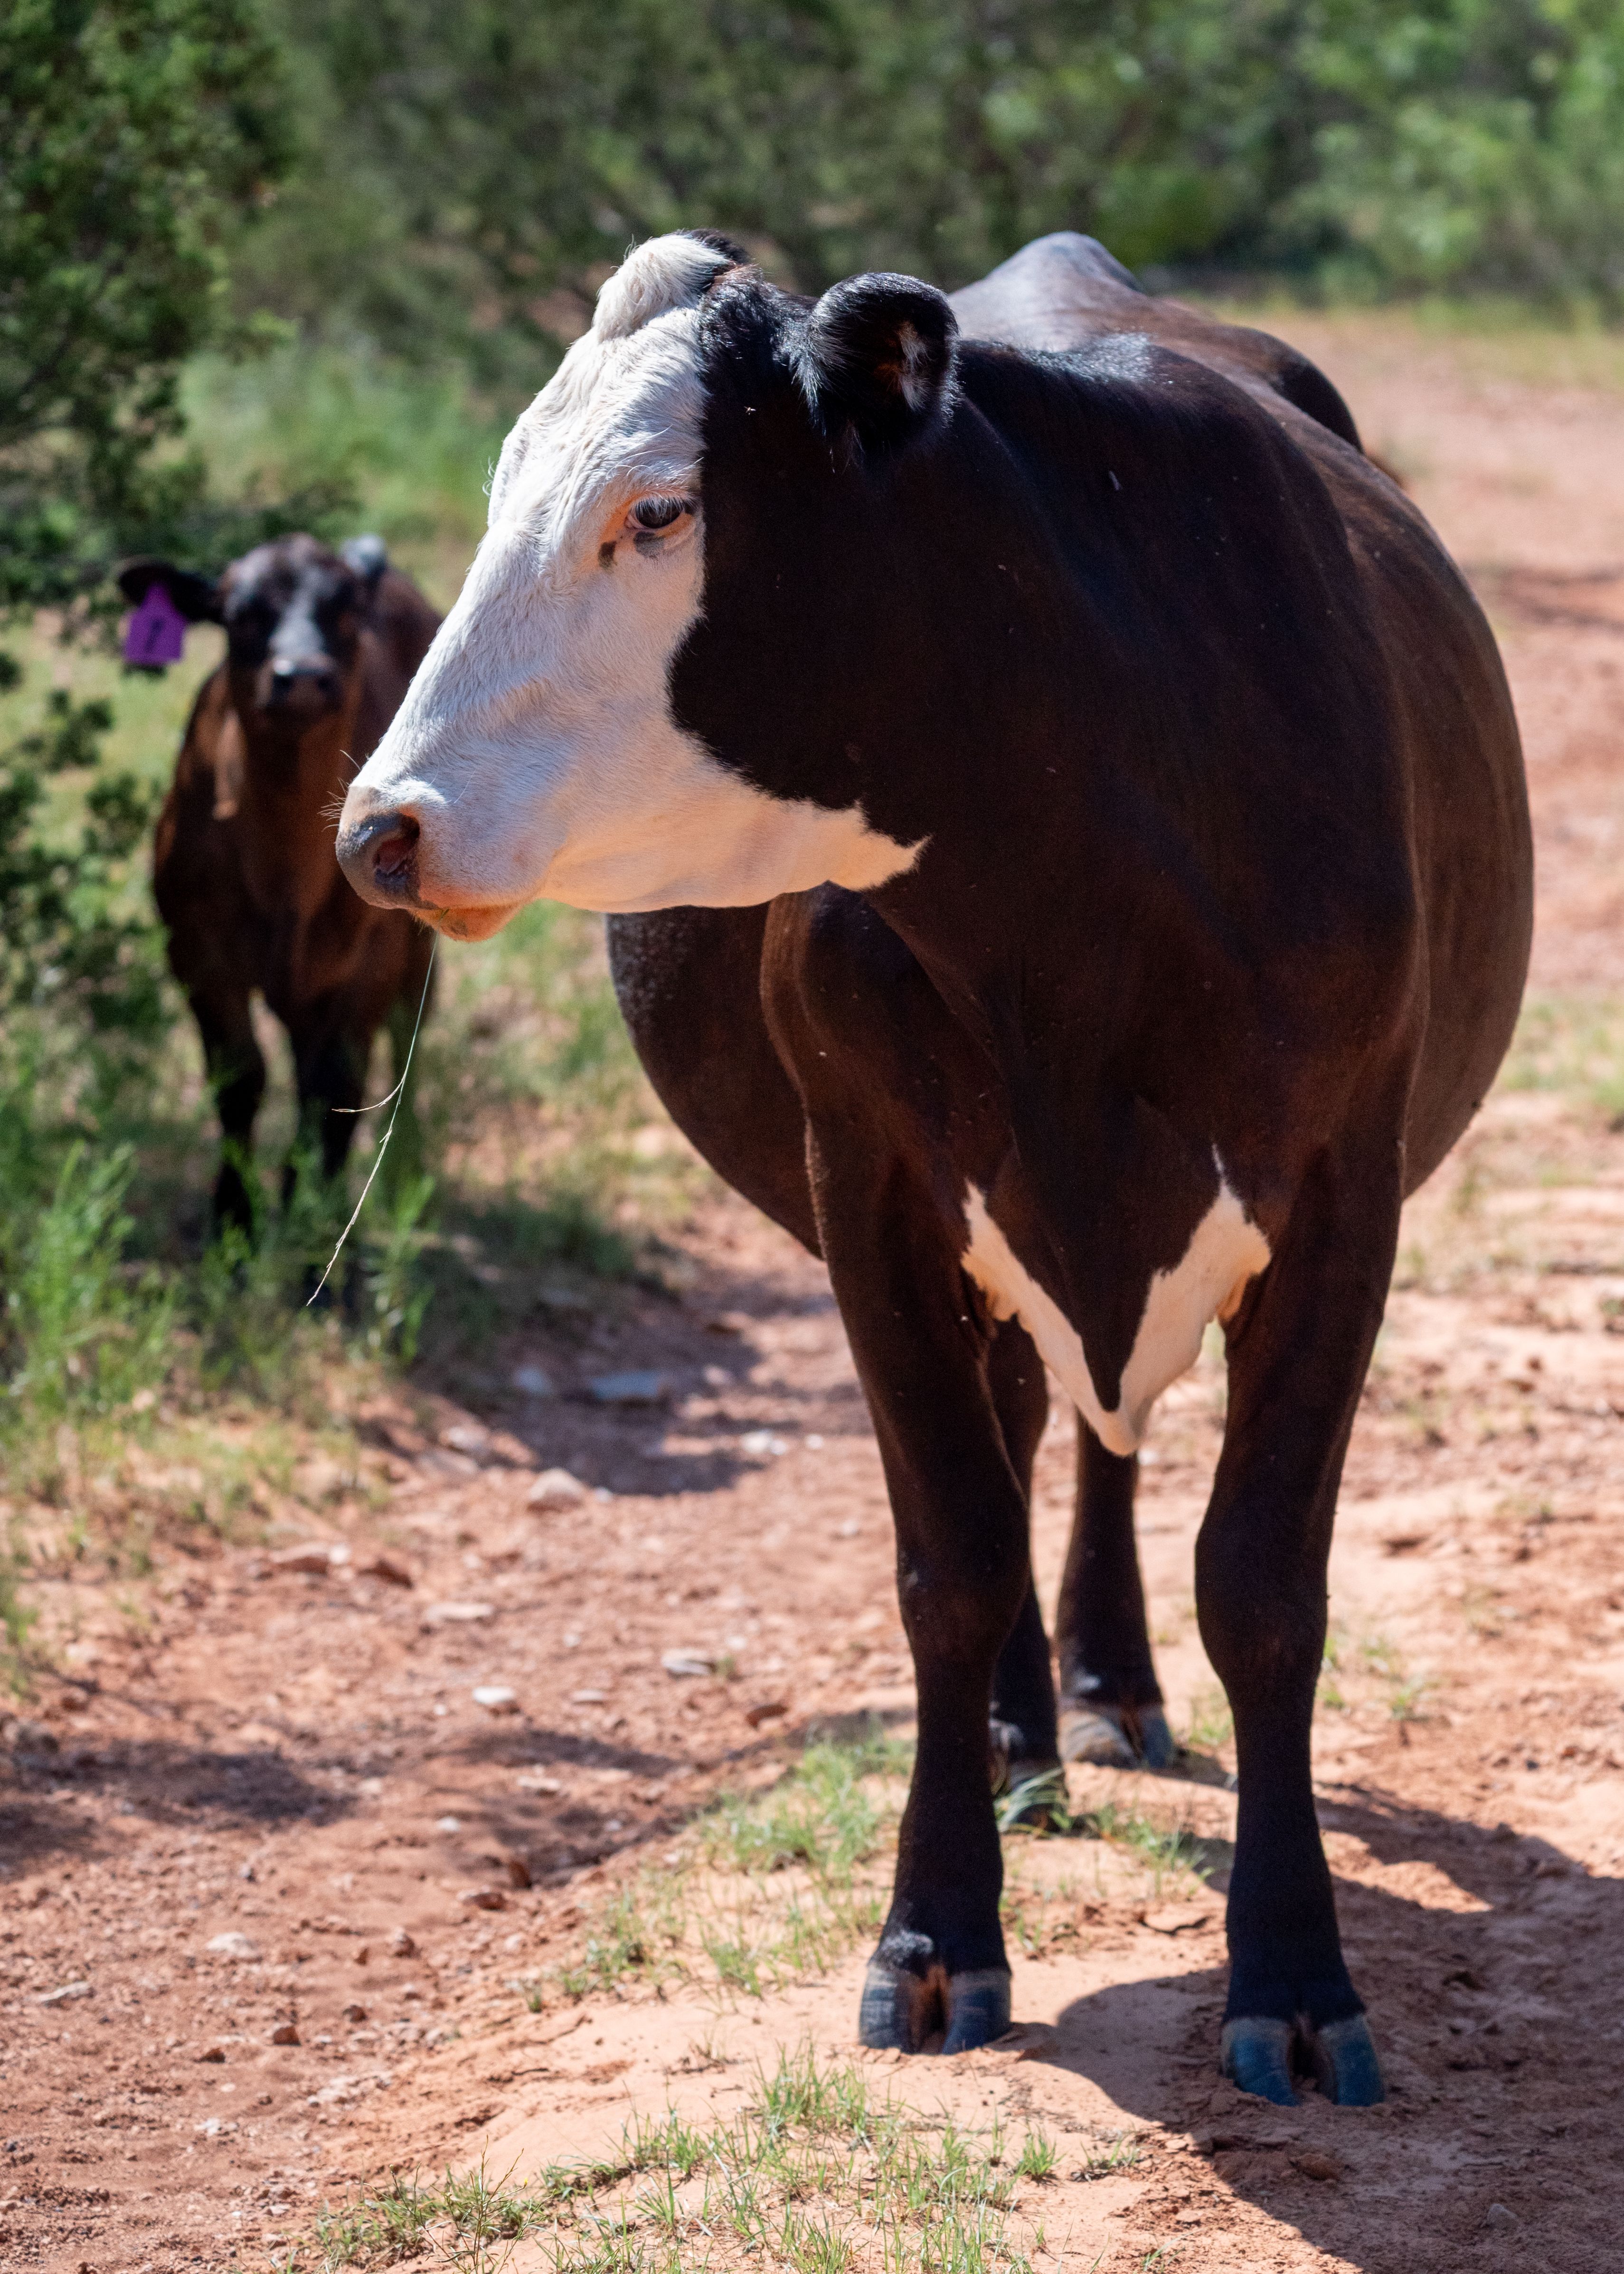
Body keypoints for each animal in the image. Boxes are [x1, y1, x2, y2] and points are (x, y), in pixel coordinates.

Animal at [119, 536, 438, 1237]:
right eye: (241, 614)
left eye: (346, 609)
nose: (302, 676)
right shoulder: (197, 953)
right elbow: (240, 1078)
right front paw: (233, 1224)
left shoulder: (371, 957)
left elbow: (338, 1083)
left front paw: (314, 1235)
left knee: (410, 1022)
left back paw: (405, 1165)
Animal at [334, 229, 1533, 2105]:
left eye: (659, 512)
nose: (382, 828)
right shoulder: (875, 1193)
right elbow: (949, 1562)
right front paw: (934, 1933)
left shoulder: (1344, 1189)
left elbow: (1263, 1585)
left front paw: (1292, 1969)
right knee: (1038, 1425)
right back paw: (1031, 1735)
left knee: (1098, 1440)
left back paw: (1104, 1687)